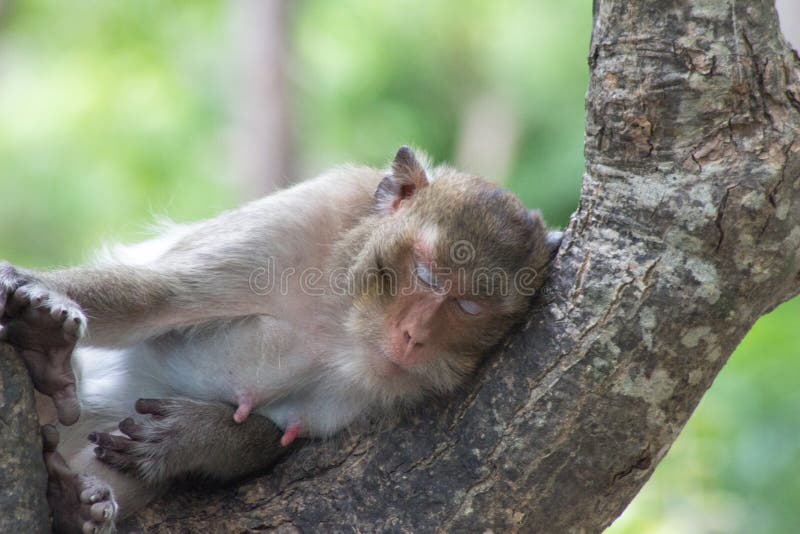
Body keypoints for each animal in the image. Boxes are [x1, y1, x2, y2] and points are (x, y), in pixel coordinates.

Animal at [0, 147, 561, 533]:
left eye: (470, 308)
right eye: (424, 274)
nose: (414, 336)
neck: (339, 319)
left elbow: (279, 441)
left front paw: (192, 438)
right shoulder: (298, 222)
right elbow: (151, 297)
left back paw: (72, 506)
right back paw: (46, 351)